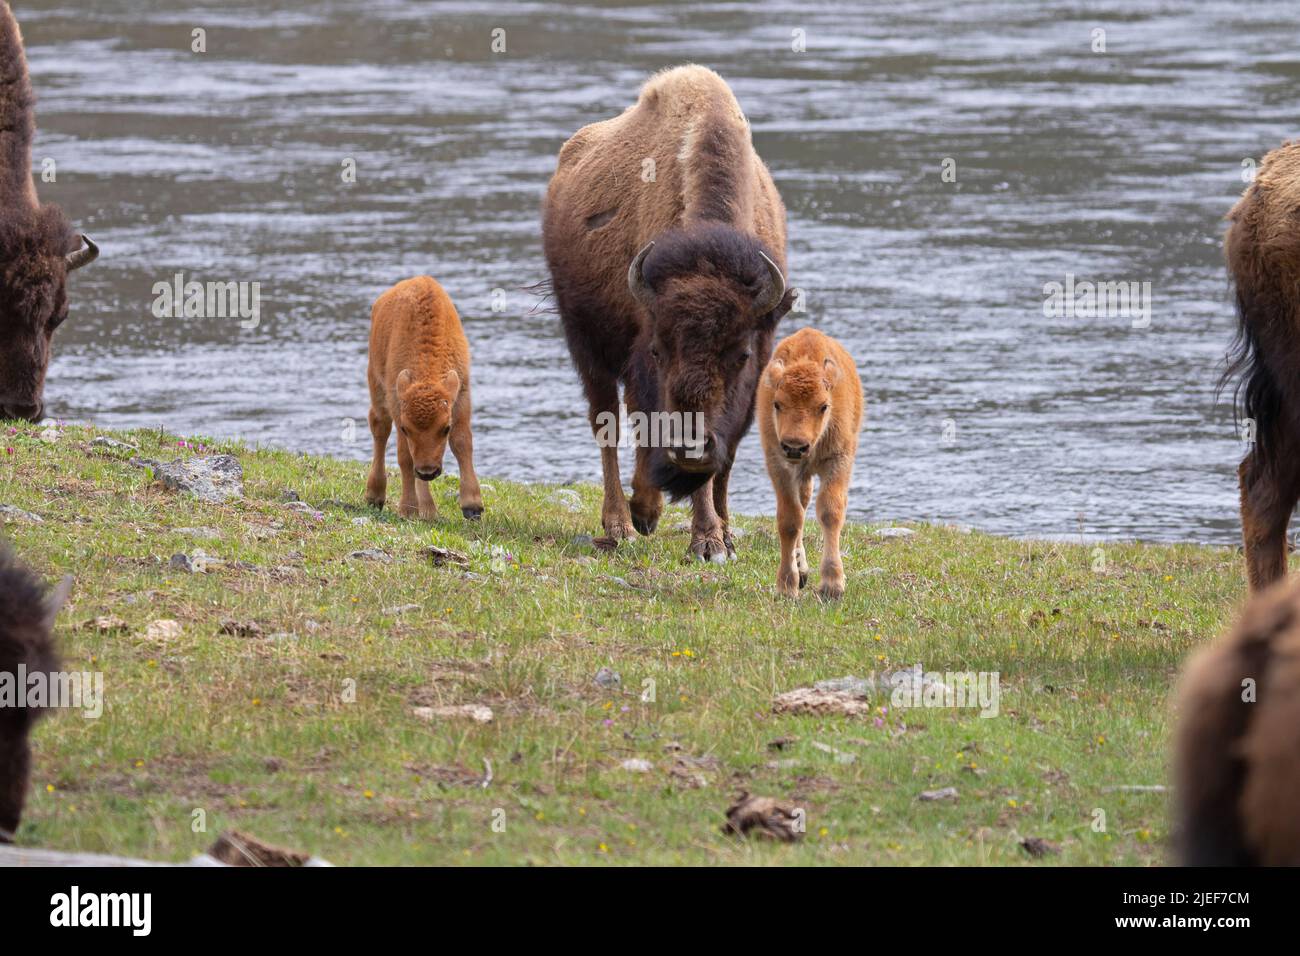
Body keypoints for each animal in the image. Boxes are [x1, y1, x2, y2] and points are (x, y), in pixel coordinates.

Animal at [365, 276, 483, 521]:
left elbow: (462, 443)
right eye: (405, 429)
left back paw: (428, 510)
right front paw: (408, 509)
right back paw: (376, 496)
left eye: (445, 428)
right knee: (380, 428)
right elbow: (405, 456)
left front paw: (472, 506)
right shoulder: (396, 401)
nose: (428, 471)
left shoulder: (462, 395)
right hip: (375, 384)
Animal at [542, 65, 795, 561]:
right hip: (587, 346)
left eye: (741, 354)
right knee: (607, 420)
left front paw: (722, 536)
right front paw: (703, 538)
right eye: (660, 350)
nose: (689, 447)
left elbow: (725, 458)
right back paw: (623, 522)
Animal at [756, 328, 863, 600]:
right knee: (801, 508)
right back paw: (801, 570)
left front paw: (832, 585)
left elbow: (830, 511)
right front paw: (786, 586)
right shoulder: (778, 464)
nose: (795, 446)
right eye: (777, 403)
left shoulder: (839, 460)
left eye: (823, 406)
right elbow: (790, 520)